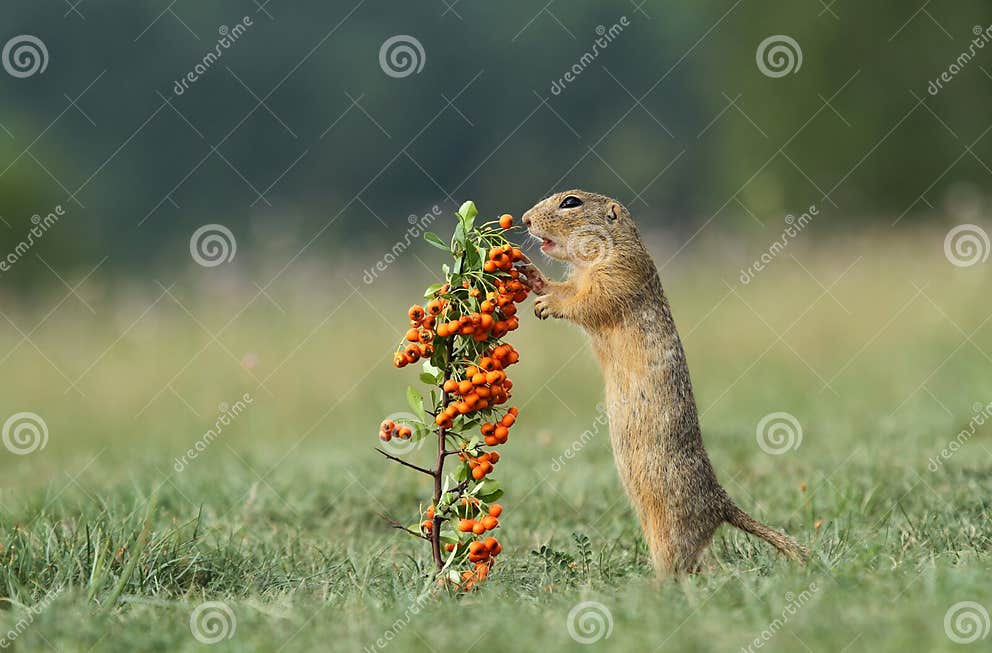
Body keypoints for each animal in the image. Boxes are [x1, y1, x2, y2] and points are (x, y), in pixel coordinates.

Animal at [515, 189, 807, 575]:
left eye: (571, 203)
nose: (525, 219)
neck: (602, 252)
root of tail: (720, 503)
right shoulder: (583, 277)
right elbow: (568, 289)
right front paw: (533, 278)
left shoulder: (618, 275)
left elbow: (587, 302)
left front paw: (549, 303)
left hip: (669, 523)